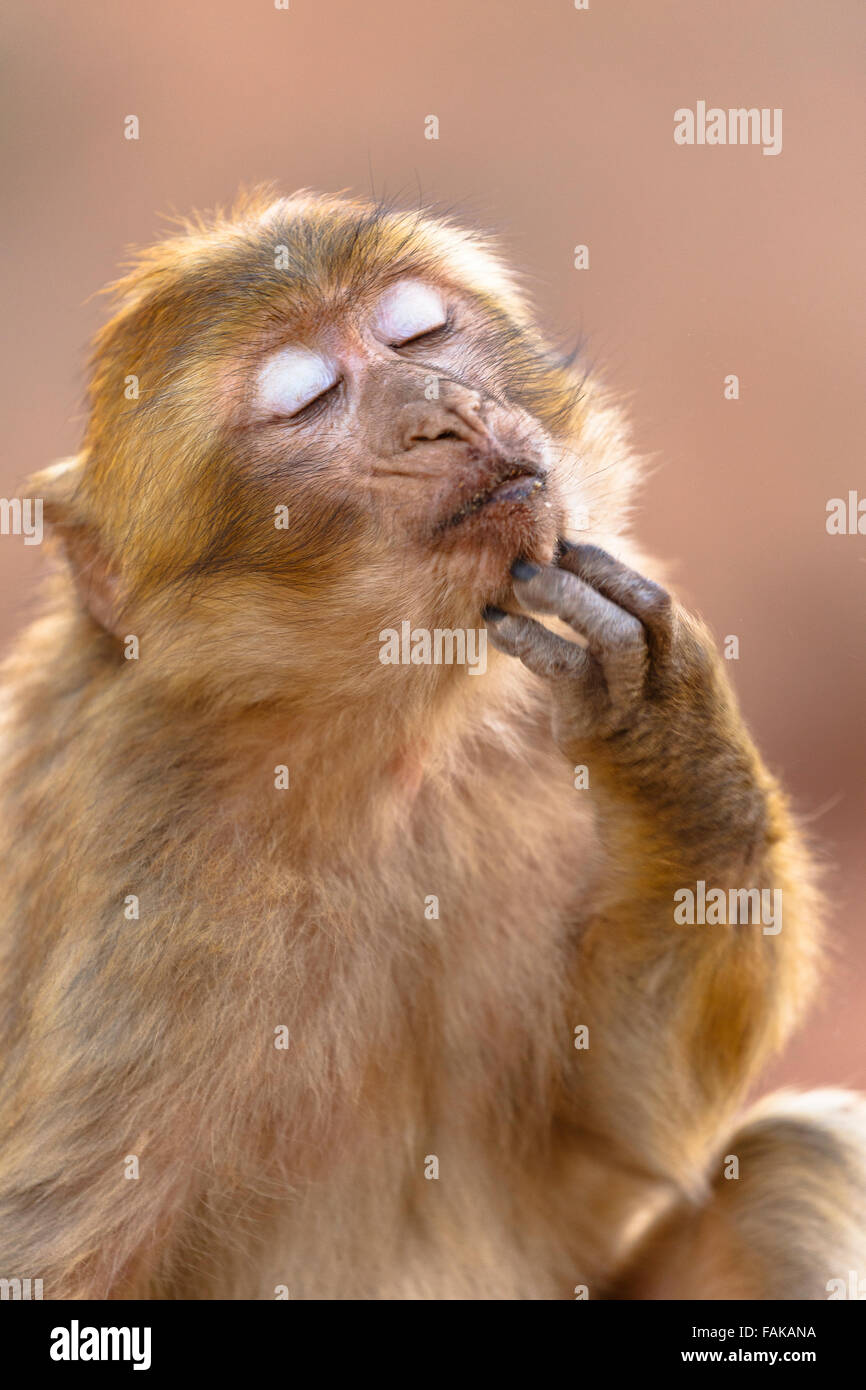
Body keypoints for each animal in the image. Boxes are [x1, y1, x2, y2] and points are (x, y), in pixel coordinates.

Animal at [0, 188, 863, 1301]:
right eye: (308, 399)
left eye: (417, 334)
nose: (441, 410)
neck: (371, 744)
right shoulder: (147, 880)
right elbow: (53, 1254)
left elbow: (624, 1116)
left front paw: (664, 736)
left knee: (799, 1161)